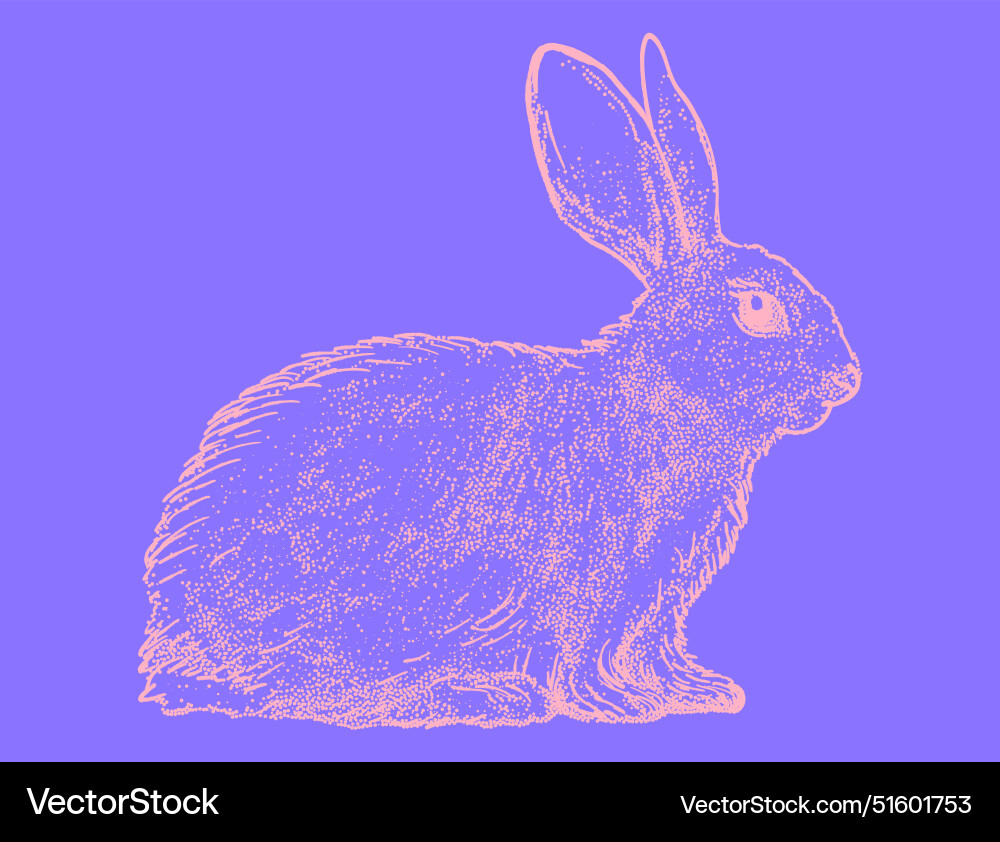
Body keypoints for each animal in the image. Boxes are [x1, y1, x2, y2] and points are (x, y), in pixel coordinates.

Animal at [139, 34, 860, 728]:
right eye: (757, 307)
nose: (848, 378)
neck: (661, 400)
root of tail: (170, 636)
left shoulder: (657, 604)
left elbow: (653, 652)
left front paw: (699, 692)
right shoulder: (588, 586)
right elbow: (582, 656)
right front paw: (620, 707)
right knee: (315, 691)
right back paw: (481, 697)